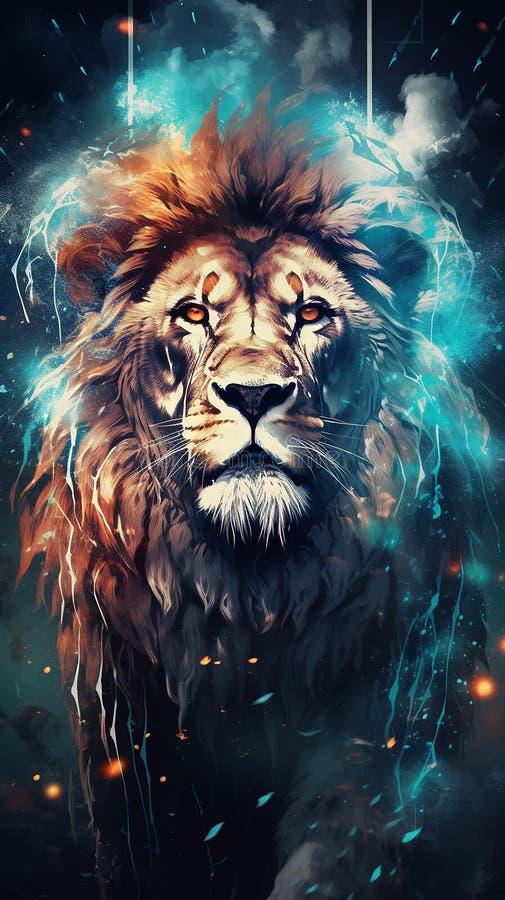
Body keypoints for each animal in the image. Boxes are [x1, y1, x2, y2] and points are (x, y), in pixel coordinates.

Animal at [16, 89, 488, 899]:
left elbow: (333, 858)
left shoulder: (380, 737)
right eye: (193, 314)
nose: (253, 393)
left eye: (311, 314)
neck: (253, 589)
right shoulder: (131, 753)